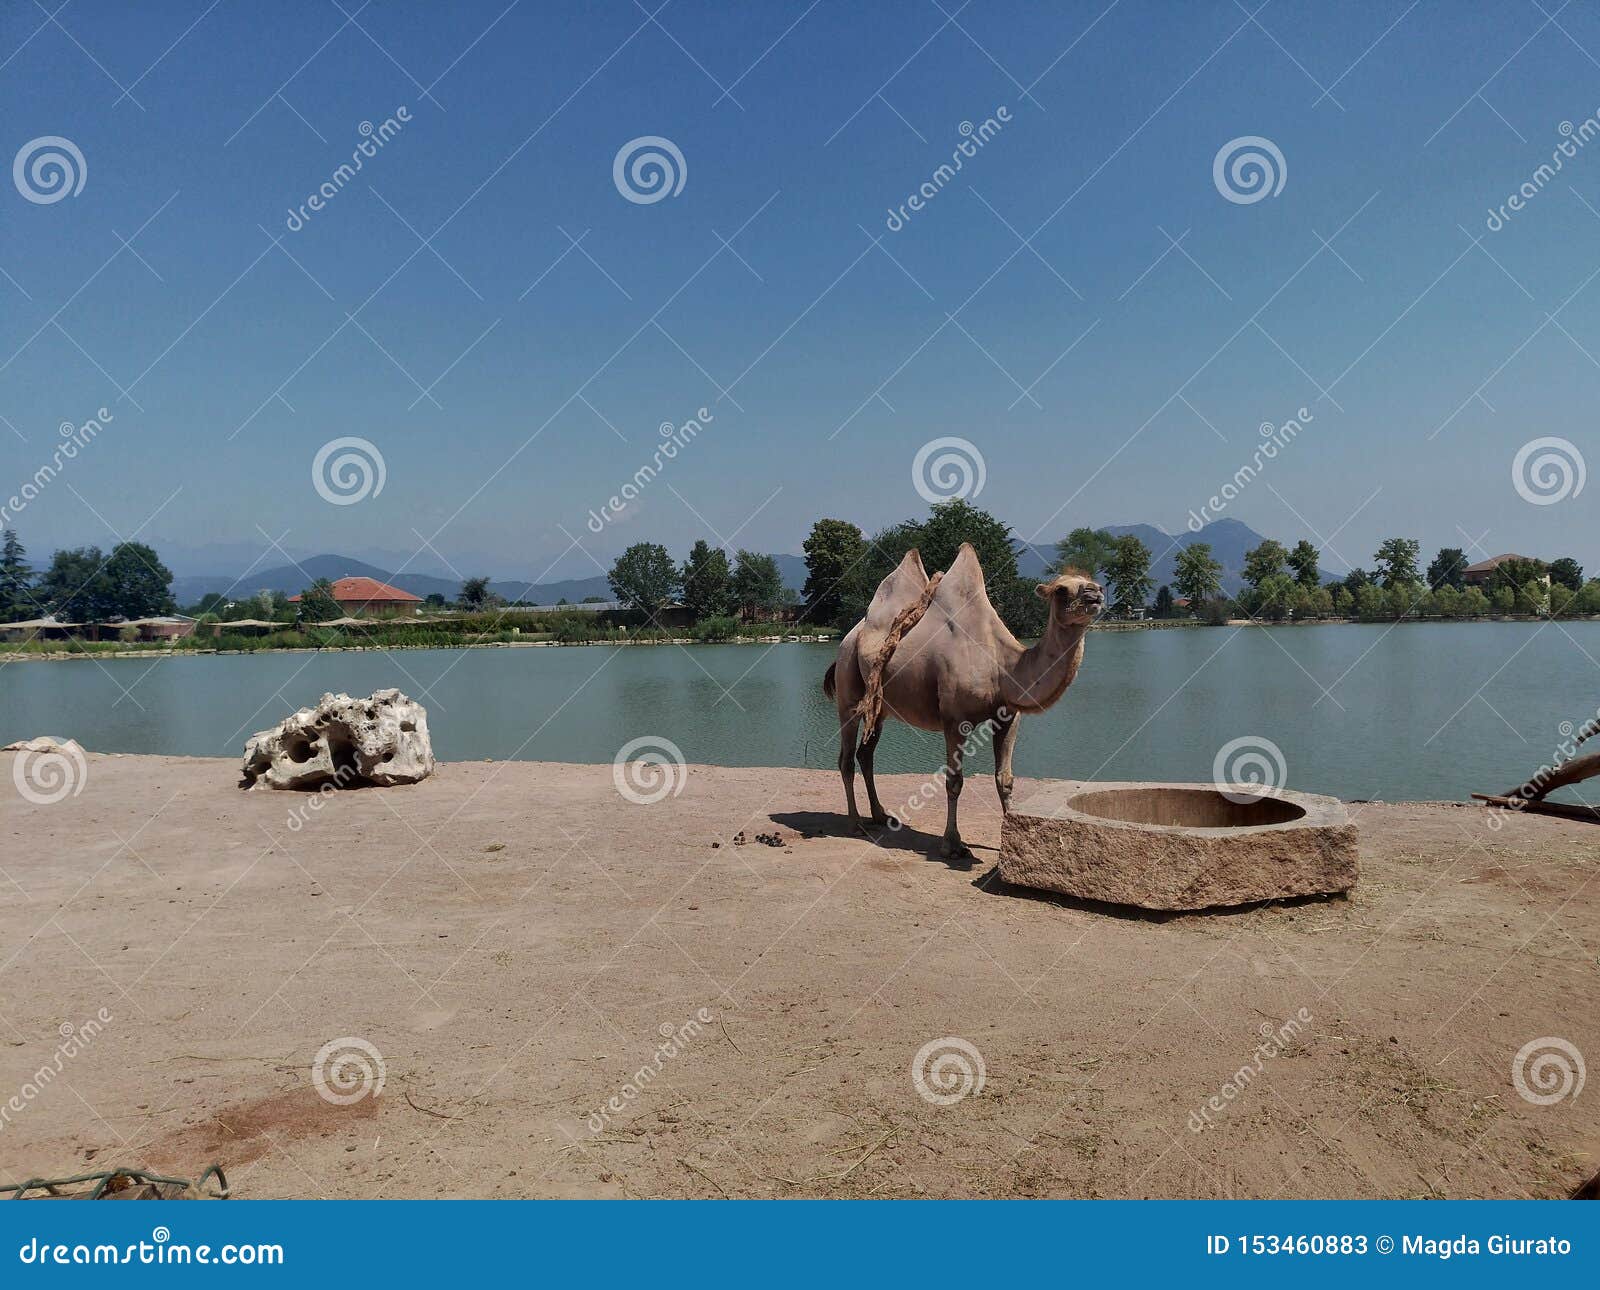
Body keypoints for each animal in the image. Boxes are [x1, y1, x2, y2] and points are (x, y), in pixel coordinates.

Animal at [822, 543, 1103, 858]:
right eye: (1061, 590)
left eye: (1096, 583)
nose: (1095, 596)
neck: (1001, 665)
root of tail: (850, 637)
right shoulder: (955, 719)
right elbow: (954, 781)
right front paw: (952, 844)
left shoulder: (1009, 716)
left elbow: (1005, 779)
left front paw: (1009, 840)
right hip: (848, 683)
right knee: (846, 757)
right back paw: (855, 823)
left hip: (879, 707)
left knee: (865, 754)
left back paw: (881, 815)